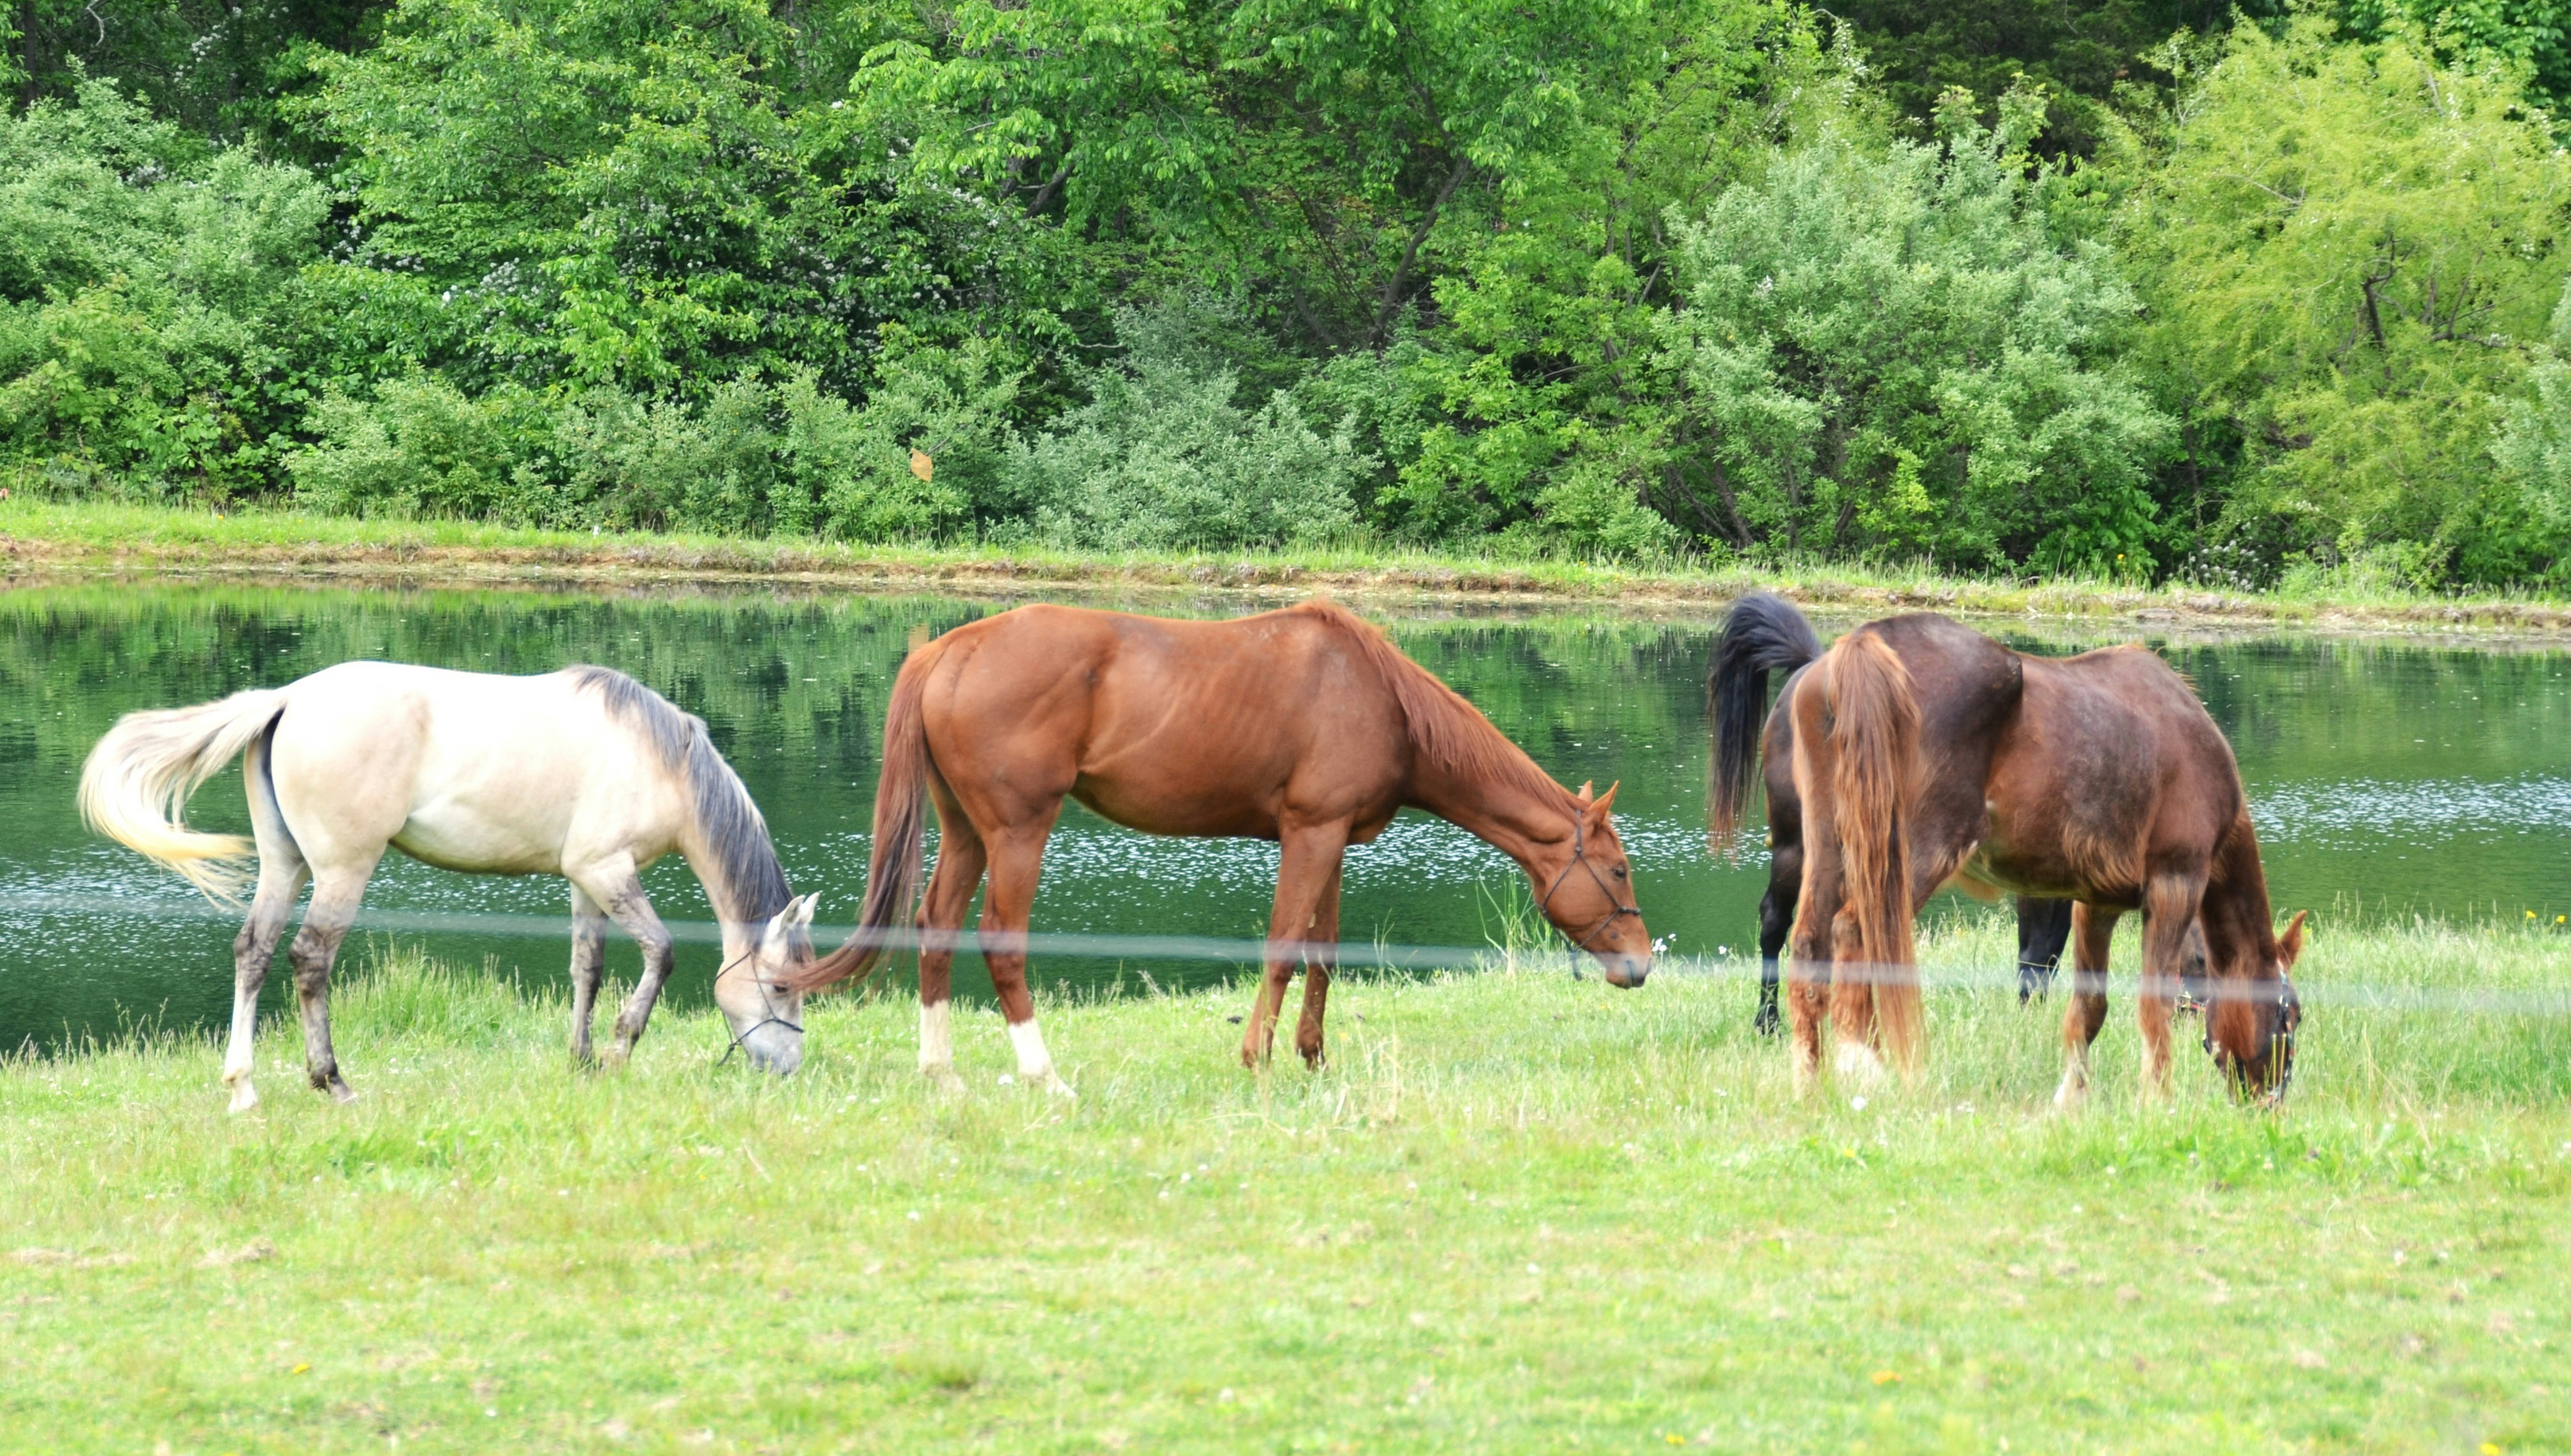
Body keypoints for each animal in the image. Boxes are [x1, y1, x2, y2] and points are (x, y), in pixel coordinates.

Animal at [78, 663, 817, 1112]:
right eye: (781, 988)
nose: (789, 1069)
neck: (660, 760)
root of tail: (288, 698)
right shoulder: (608, 871)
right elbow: (660, 953)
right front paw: (615, 1051)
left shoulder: (586, 879)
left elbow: (588, 967)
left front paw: (579, 1062)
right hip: (343, 870)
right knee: (310, 959)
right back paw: (333, 1082)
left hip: (284, 865)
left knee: (253, 952)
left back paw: (243, 1087)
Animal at [786, 599, 1653, 1092]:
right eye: (1617, 869)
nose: (1642, 964)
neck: (1382, 699)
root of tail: (948, 649)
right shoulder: (1310, 834)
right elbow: (1282, 946)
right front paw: (1256, 1059)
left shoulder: (1333, 840)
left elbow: (1321, 951)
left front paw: (1312, 1056)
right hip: (1017, 831)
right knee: (1001, 939)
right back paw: (1043, 1074)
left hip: (966, 831)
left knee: (934, 927)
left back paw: (940, 1070)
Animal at [1707, 593, 2303, 1104]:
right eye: (2290, 1016)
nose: (2269, 1101)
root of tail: (1857, 648)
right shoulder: (2173, 884)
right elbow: (2149, 1005)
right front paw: (2155, 1101)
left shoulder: (2095, 903)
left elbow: (2085, 1005)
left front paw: (2071, 1099)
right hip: (1901, 857)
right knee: (1850, 936)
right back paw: (1864, 1067)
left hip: (1828, 849)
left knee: (1808, 950)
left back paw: (1809, 1081)